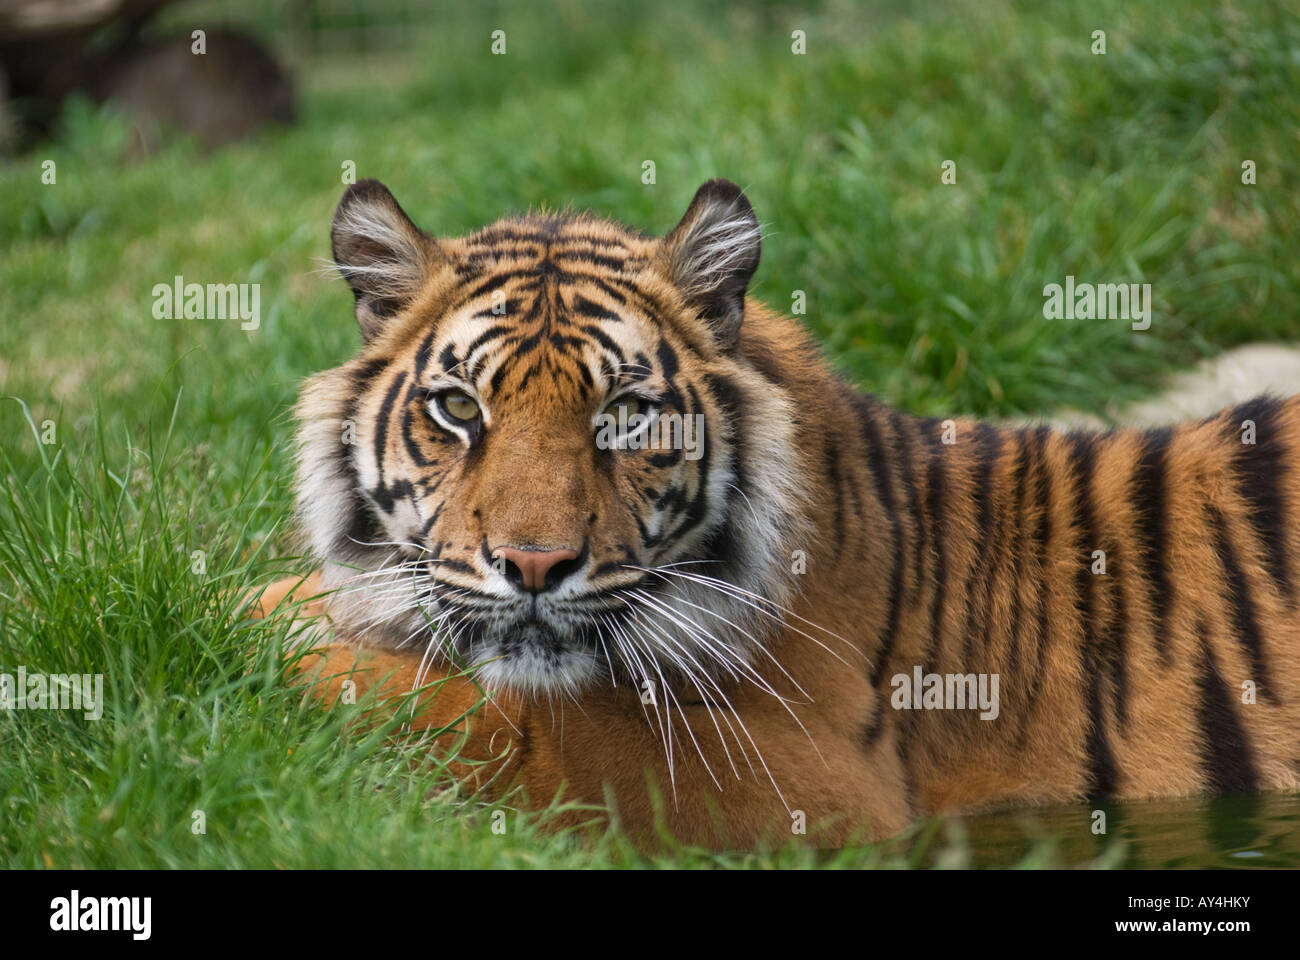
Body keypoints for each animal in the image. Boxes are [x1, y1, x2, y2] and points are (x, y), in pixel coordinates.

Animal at [251, 176, 1300, 849]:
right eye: (459, 409)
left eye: (623, 415)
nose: (536, 565)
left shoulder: (814, 783)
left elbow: (500, 718)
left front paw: (269, 650)